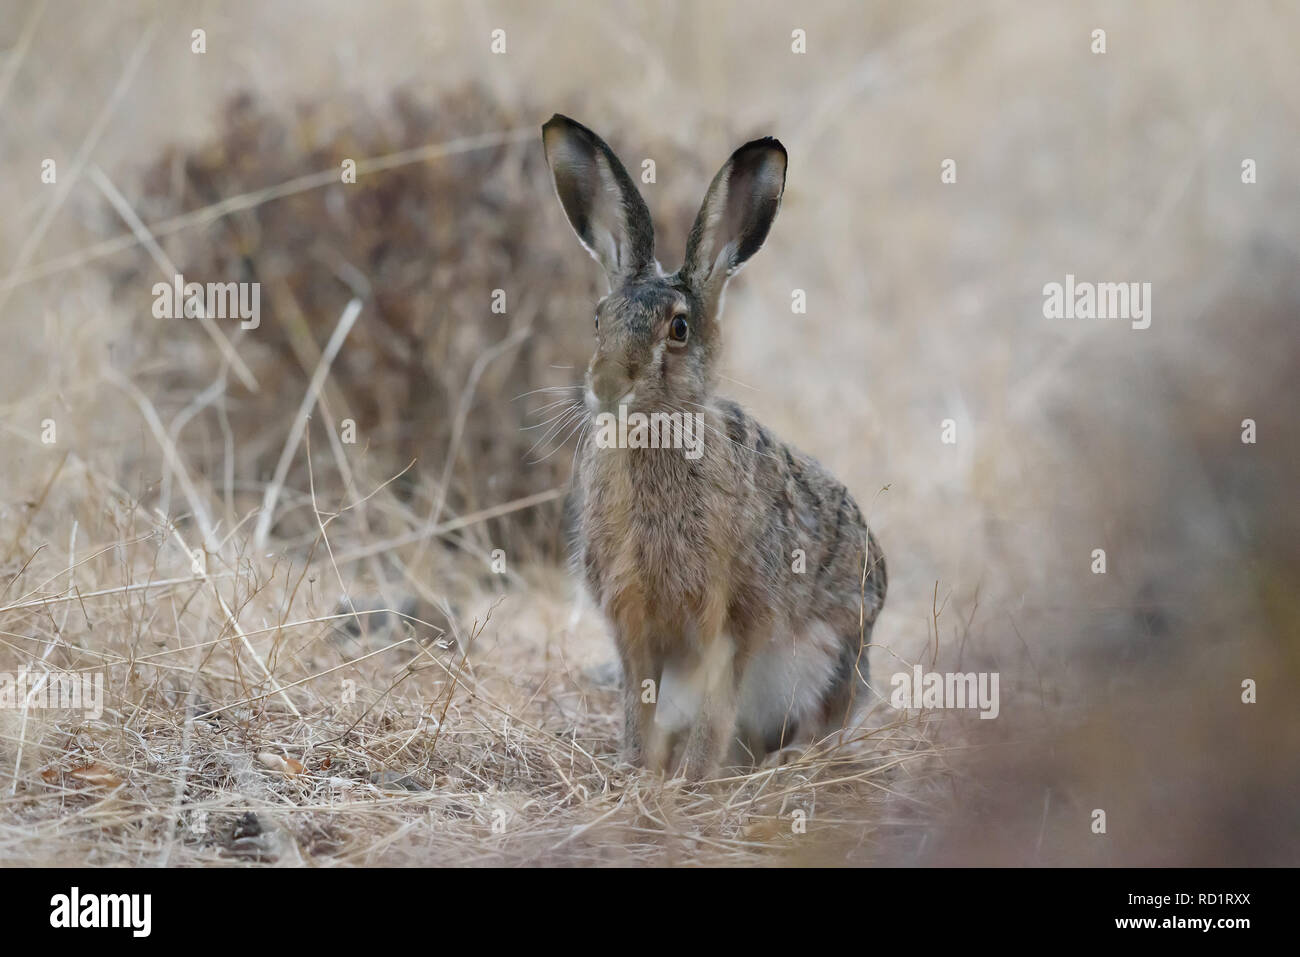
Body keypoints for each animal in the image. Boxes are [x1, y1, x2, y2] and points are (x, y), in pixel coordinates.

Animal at [542, 114, 886, 781]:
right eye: (598, 319)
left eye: (678, 329)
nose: (605, 387)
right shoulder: (632, 620)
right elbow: (638, 701)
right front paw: (638, 770)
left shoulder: (732, 618)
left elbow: (717, 704)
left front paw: (690, 781)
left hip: (831, 657)